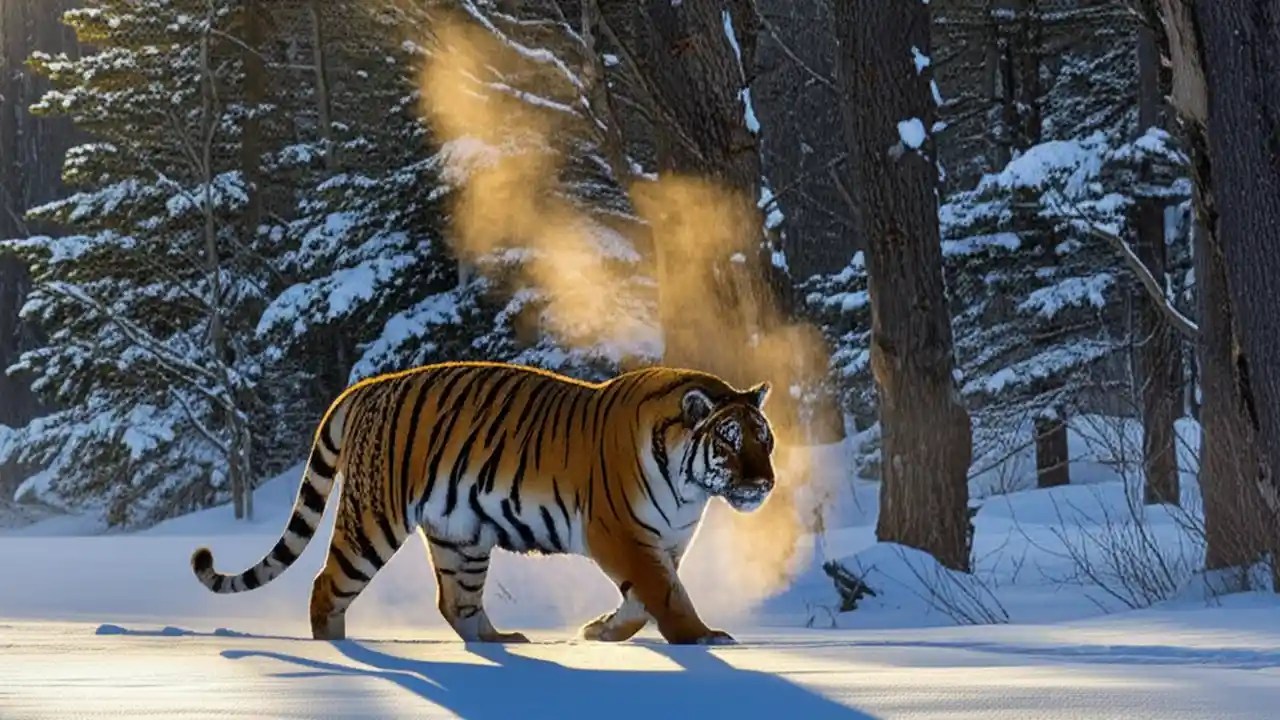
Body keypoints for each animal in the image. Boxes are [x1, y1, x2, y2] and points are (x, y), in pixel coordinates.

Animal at [190, 361, 777, 645]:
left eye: (765, 440)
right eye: (729, 442)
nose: (767, 483)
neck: (689, 491)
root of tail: (368, 386)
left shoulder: (665, 544)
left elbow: (645, 601)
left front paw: (598, 631)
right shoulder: (623, 537)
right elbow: (667, 597)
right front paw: (703, 638)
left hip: (462, 535)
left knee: (457, 602)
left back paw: (500, 641)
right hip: (374, 519)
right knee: (327, 586)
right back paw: (338, 649)